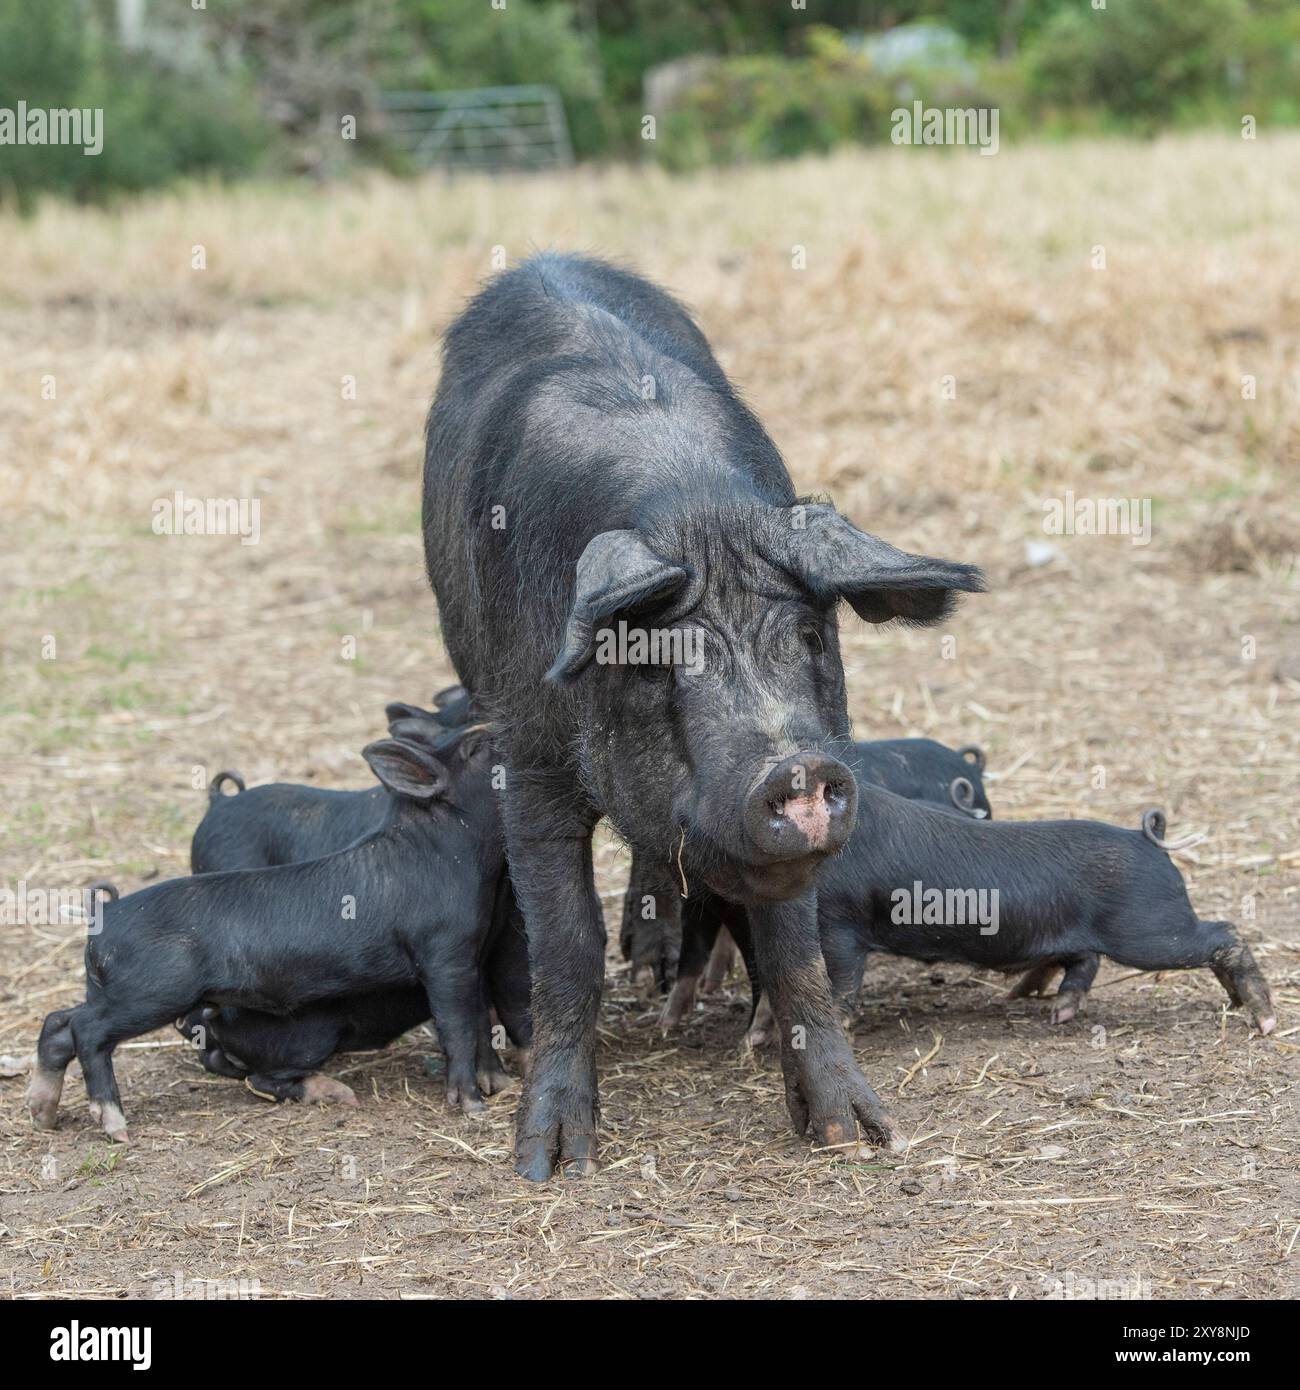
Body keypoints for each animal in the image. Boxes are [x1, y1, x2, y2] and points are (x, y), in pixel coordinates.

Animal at [29, 728, 510, 1143]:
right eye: (476, 747)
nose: (500, 727)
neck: (453, 853)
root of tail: (105, 913)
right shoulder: (443, 953)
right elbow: (457, 1026)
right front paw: (474, 1108)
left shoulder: (476, 955)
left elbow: (480, 1018)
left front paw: (498, 1085)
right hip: (153, 991)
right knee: (87, 1030)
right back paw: (116, 1127)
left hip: (109, 990)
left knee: (58, 1022)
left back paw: (44, 1116)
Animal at [422, 252, 983, 1178]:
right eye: (662, 662)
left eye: (807, 637)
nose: (796, 767)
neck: (692, 508)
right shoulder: (528, 755)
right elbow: (565, 944)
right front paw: (552, 1162)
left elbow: (796, 949)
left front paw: (857, 1134)